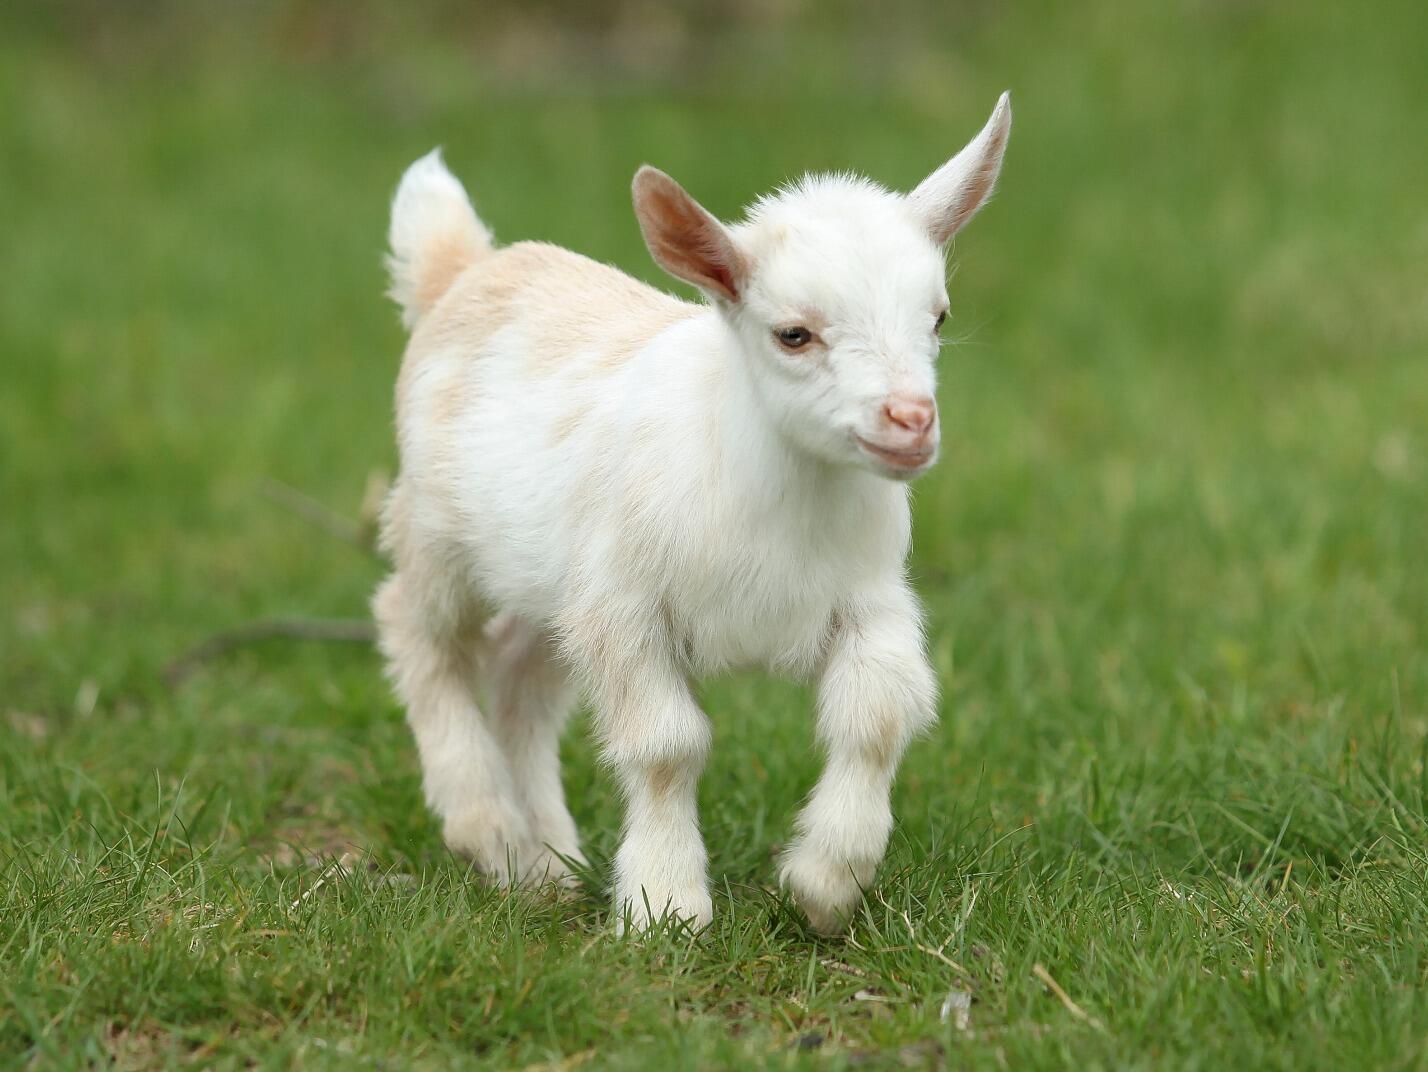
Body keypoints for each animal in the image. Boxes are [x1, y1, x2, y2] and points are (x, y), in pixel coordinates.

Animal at [374, 94, 1011, 933]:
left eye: (938, 317)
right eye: (793, 334)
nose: (911, 421)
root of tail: (468, 269)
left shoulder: (870, 601)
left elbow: (876, 718)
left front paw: (825, 882)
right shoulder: (626, 609)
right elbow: (666, 746)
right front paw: (664, 906)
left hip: (554, 579)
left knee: (520, 672)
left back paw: (544, 863)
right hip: (438, 531)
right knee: (419, 631)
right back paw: (487, 826)